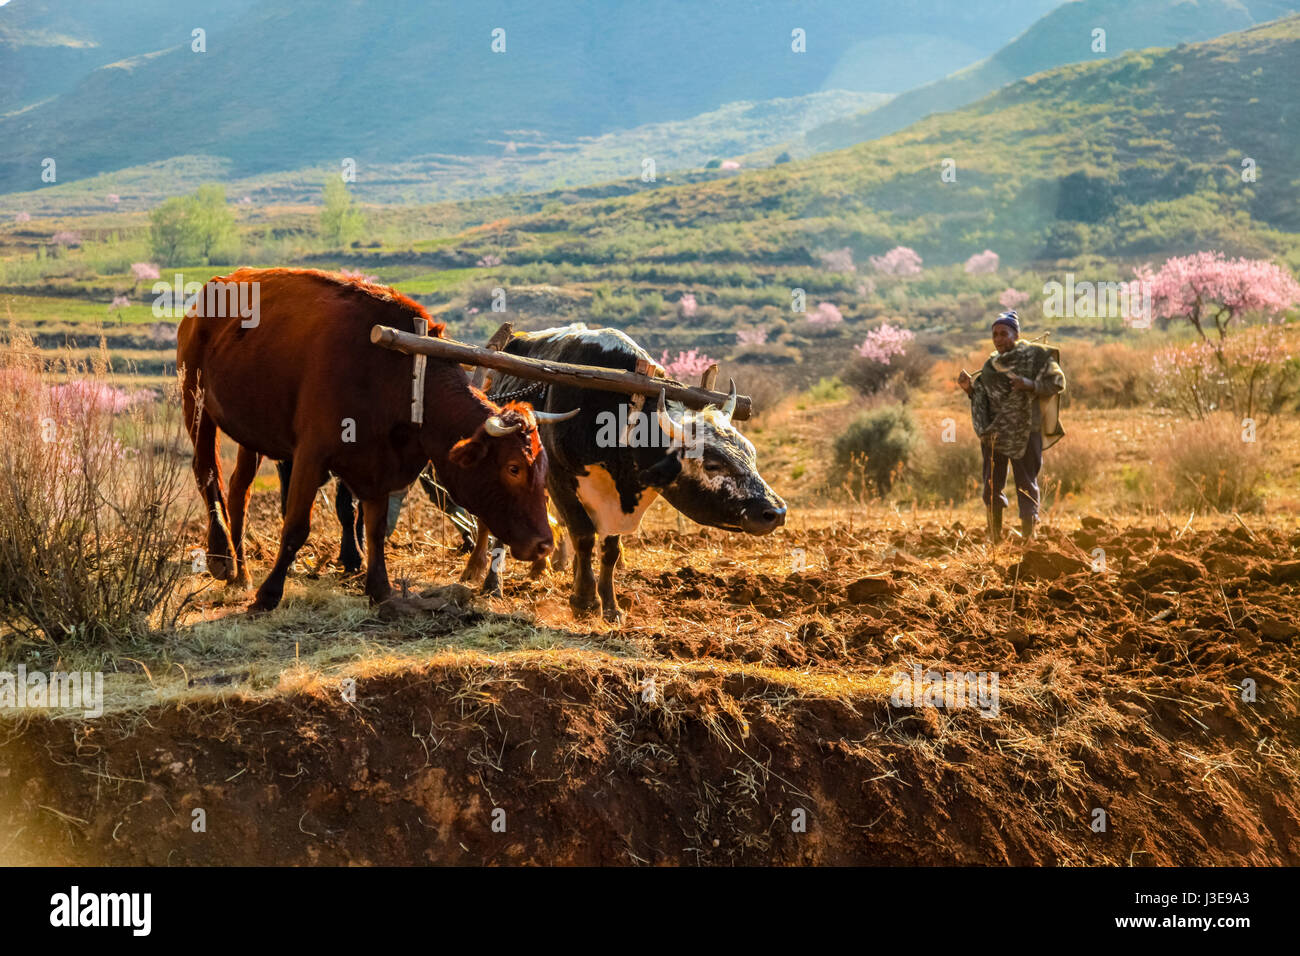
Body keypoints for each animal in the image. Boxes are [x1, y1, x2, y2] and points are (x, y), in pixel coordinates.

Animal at [176, 267, 575, 611]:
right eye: (513, 468)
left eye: (542, 468)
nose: (544, 544)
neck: (402, 375)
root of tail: (217, 284)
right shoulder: (311, 453)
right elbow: (296, 526)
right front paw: (269, 593)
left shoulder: (380, 465)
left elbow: (375, 527)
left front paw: (380, 590)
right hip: (196, 402)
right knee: (206, 472)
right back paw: (221, 559)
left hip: (251, 432)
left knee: (239, 490)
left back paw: (241, 573)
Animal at [464, 323, 787, 622]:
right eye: (712, 464)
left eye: (751, 453)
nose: (775, 512)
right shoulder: (559, 479)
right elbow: (583, 536)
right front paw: (584, 601)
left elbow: (610, 550)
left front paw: (609, 605)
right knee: (491, 522)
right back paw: (485, 577)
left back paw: (538, 569)